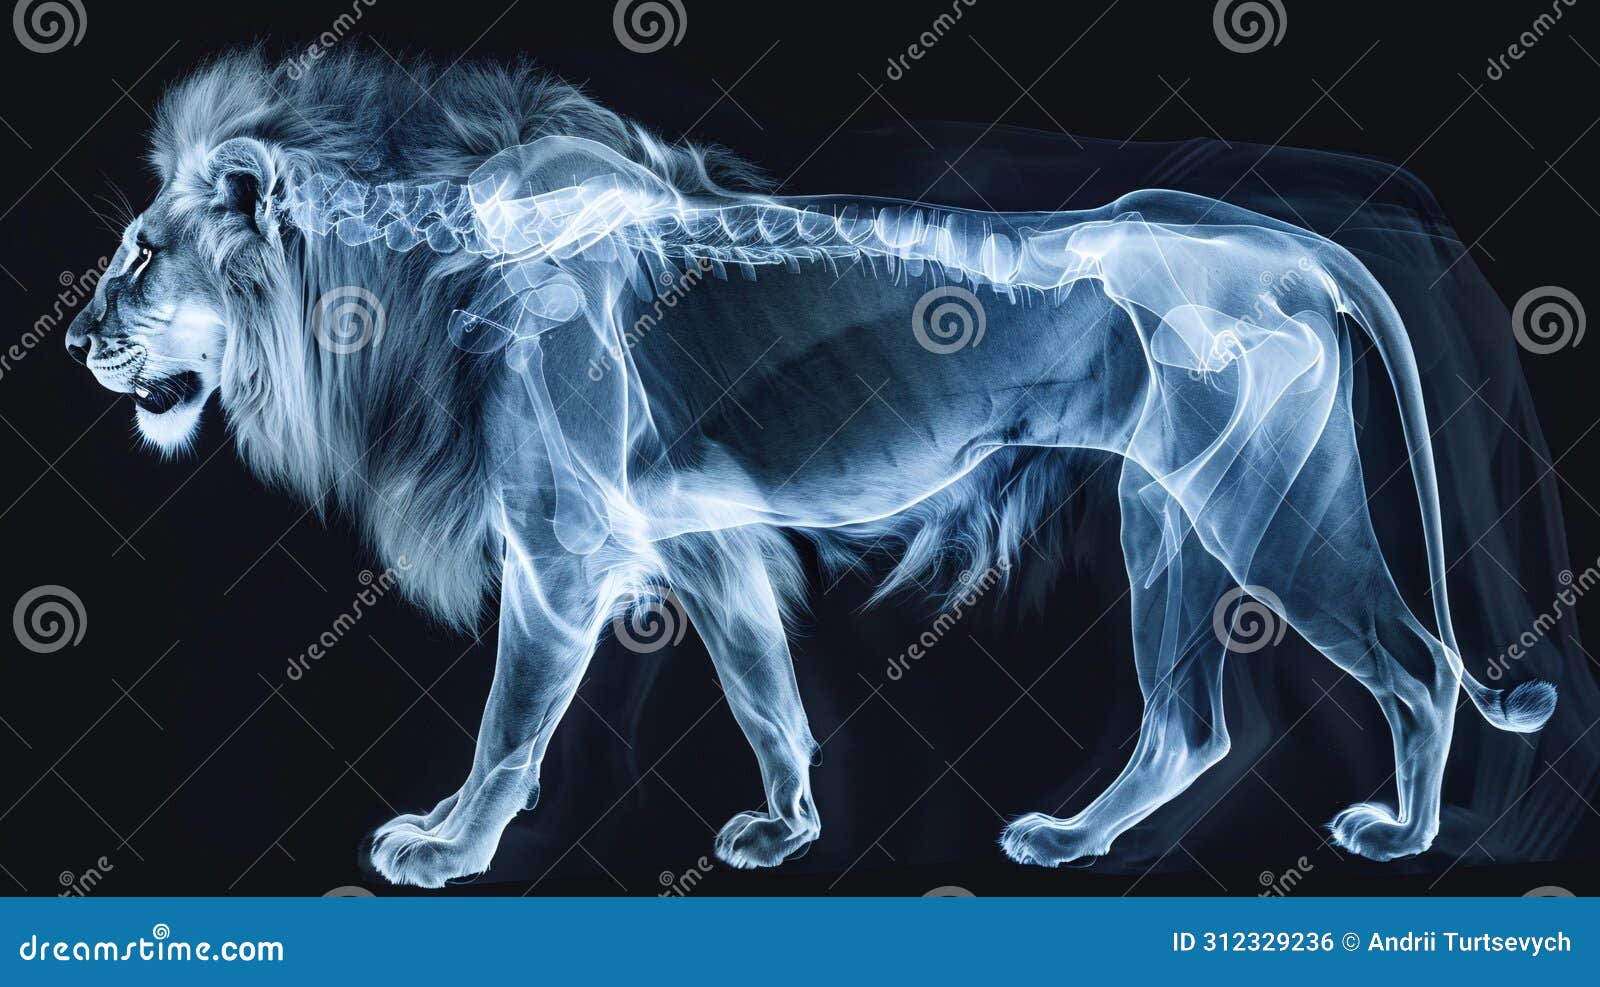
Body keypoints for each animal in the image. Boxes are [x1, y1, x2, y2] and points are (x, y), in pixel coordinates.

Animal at [64, 49, 1557, 887]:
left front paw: (448, 846)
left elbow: (510, 724)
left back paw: (1400, 836)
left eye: (140, 254)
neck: (402, 284)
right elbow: (763, 690)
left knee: (1414, 662)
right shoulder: (702, 533)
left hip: (1266, 503)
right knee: (1190, 722)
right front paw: (783, 831)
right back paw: (1068, 843)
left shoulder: (562, 543)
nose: (70, 339)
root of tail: (1277, 239)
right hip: (1167, 513)